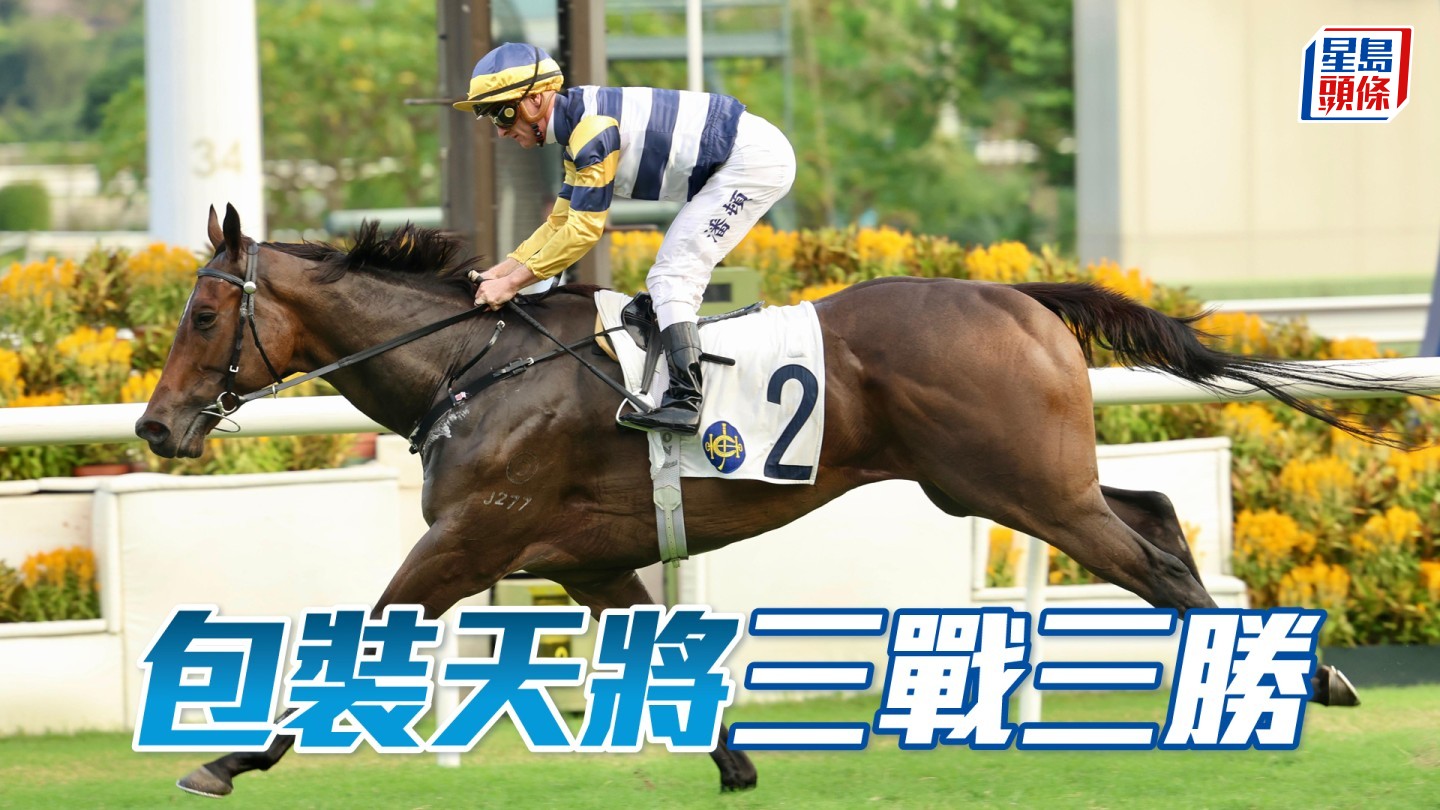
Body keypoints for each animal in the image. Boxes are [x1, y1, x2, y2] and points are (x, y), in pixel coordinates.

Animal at [138, 205, 1404, 796]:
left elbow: (358, 640)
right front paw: (736, 762)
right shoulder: (587, 558)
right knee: (1153, 519)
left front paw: (229, 760)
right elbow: (663, 654)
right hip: (1016, 482)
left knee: (1150, 561)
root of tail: (1017, 294)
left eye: (202, 313)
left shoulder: (471, 538)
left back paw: (1305, 680)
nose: (154, 428)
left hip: (1018, 485)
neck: (475, 367)